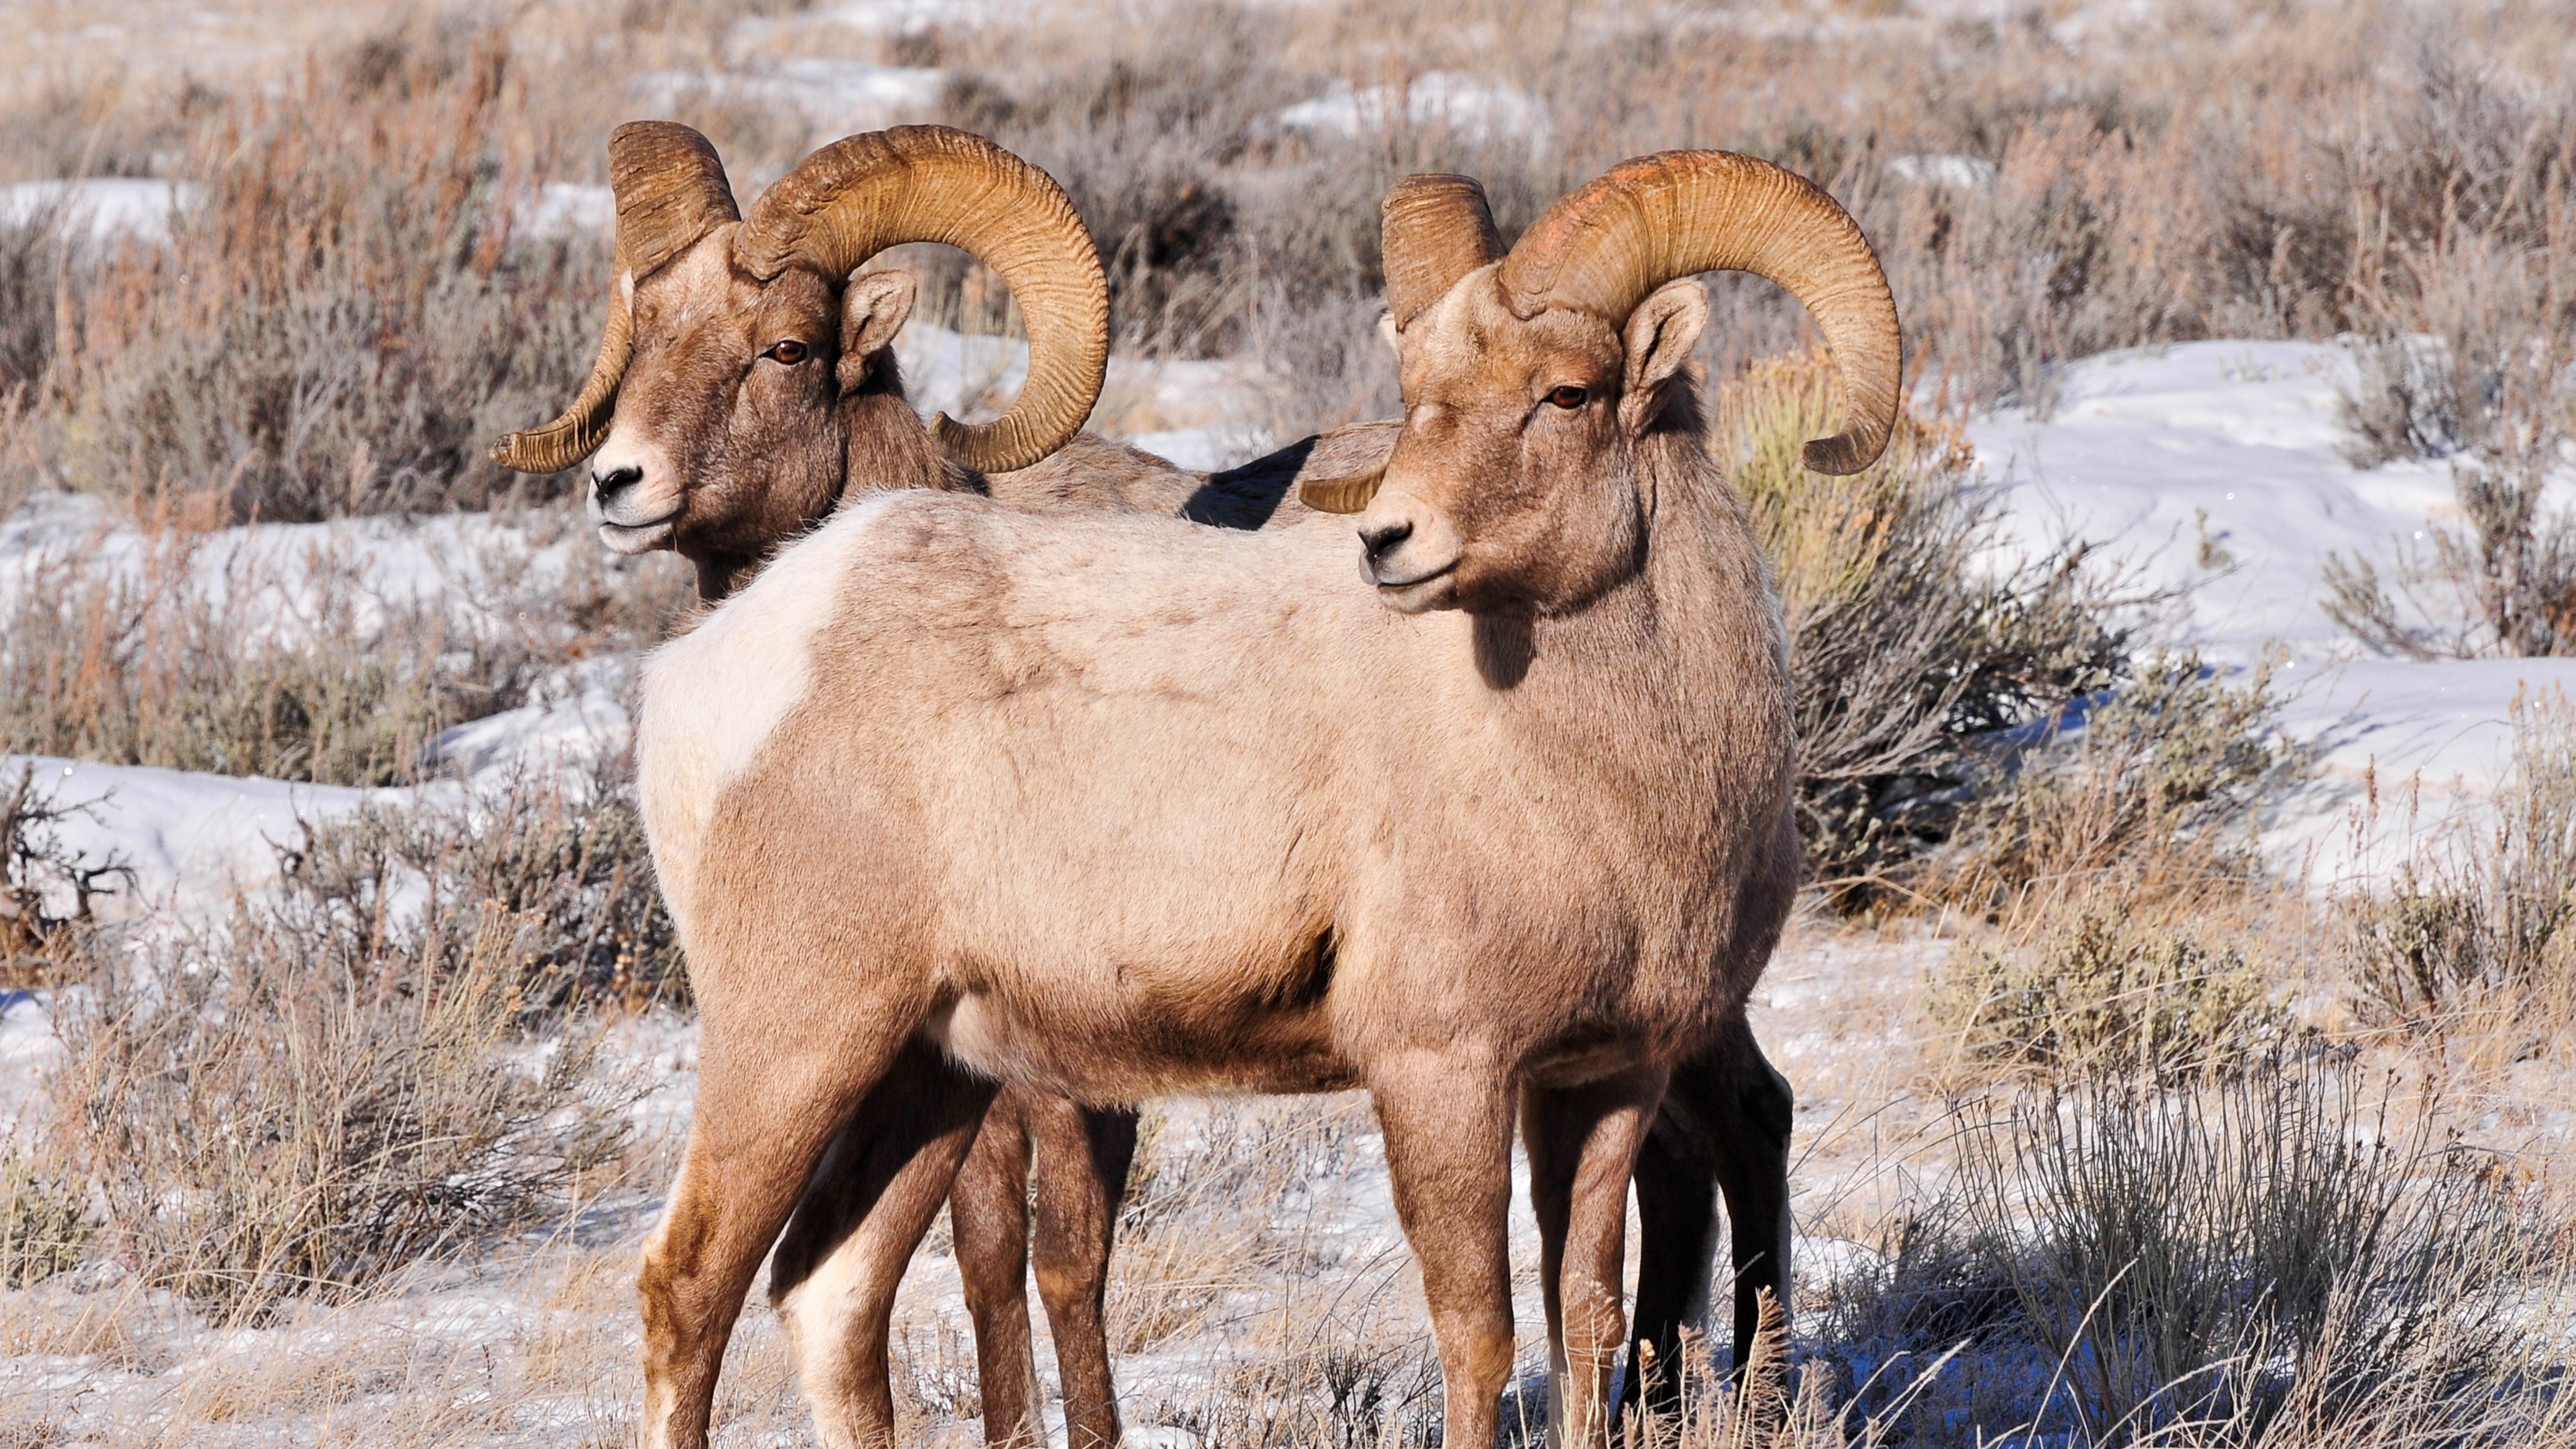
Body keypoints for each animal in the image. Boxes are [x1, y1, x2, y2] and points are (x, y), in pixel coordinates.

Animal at [496, 123, 1817, 1448]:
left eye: (1568, 392)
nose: (1392, 543)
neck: (1602, 770)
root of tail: (724, 659)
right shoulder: (1440, 1071)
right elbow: (1476, 1331)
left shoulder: (1599, 1076)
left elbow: (1581, 1320)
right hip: (797, 1044)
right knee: (691, 1288)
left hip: (922, 1076)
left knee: (832, 1293)